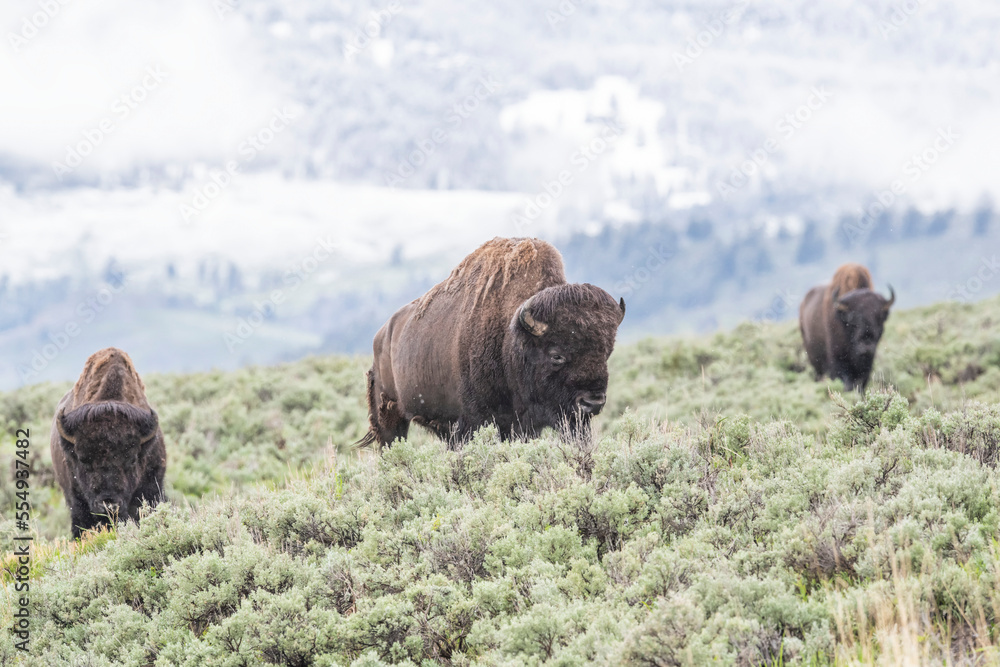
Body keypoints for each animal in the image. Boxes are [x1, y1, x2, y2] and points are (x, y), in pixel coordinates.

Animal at [359, 237, 626, 447]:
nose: (593, 402)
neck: (512, 340)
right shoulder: (477, 422)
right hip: (390, 414)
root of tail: (382, 335)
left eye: (606, 352)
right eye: (556, 355)